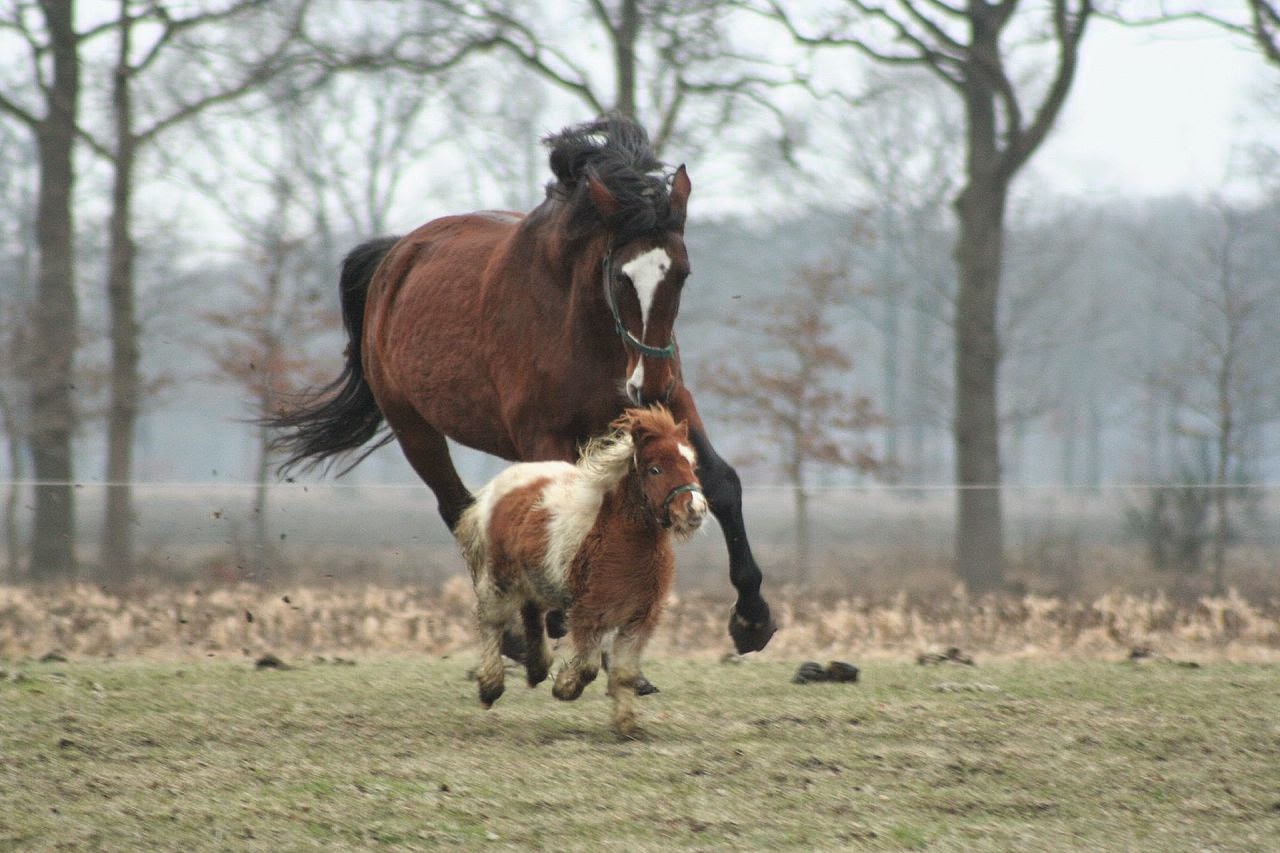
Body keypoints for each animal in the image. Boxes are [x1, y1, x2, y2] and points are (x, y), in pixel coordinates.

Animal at [267, 115, 775, 658]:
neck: (585, 328)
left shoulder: (672, 409)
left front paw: (752, 617)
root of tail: (395, 256)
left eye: (681, 273)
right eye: (621, 276)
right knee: (459, 511)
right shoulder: (544, 435)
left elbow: (721, 482)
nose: (650, 385)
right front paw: (565, 619)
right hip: (413, 428)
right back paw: (514, 629)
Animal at [455, 405, 707, 737]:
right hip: (499, 581)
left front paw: (626, 725)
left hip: (534, 579)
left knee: (531, 614)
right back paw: (490, 687)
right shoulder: (589, 614)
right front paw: (565, 687)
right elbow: (588, 667)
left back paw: (536, 669)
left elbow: (624, 673)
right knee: (491, 624)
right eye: (655, 469)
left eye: (692, 465)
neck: (618, 538)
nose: (695, 509)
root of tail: (499, 487)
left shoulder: (640, 618)